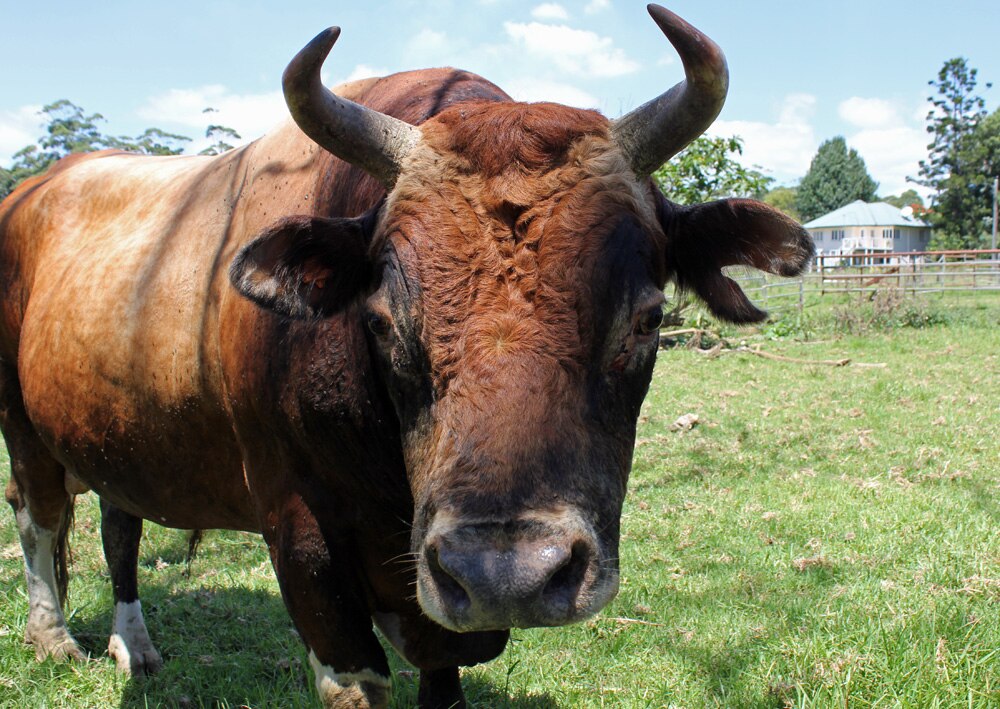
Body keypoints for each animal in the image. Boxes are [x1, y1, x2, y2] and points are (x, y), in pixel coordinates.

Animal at [0, 6, 813, 708]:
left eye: (646, 320)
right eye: (384, 322)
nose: (508, 577)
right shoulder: (303, 539)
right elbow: (355, 674)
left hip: (117, 433)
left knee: (120, 527)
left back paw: (134, 646)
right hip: (23, 425)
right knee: (39, 516)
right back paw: (52, 637)